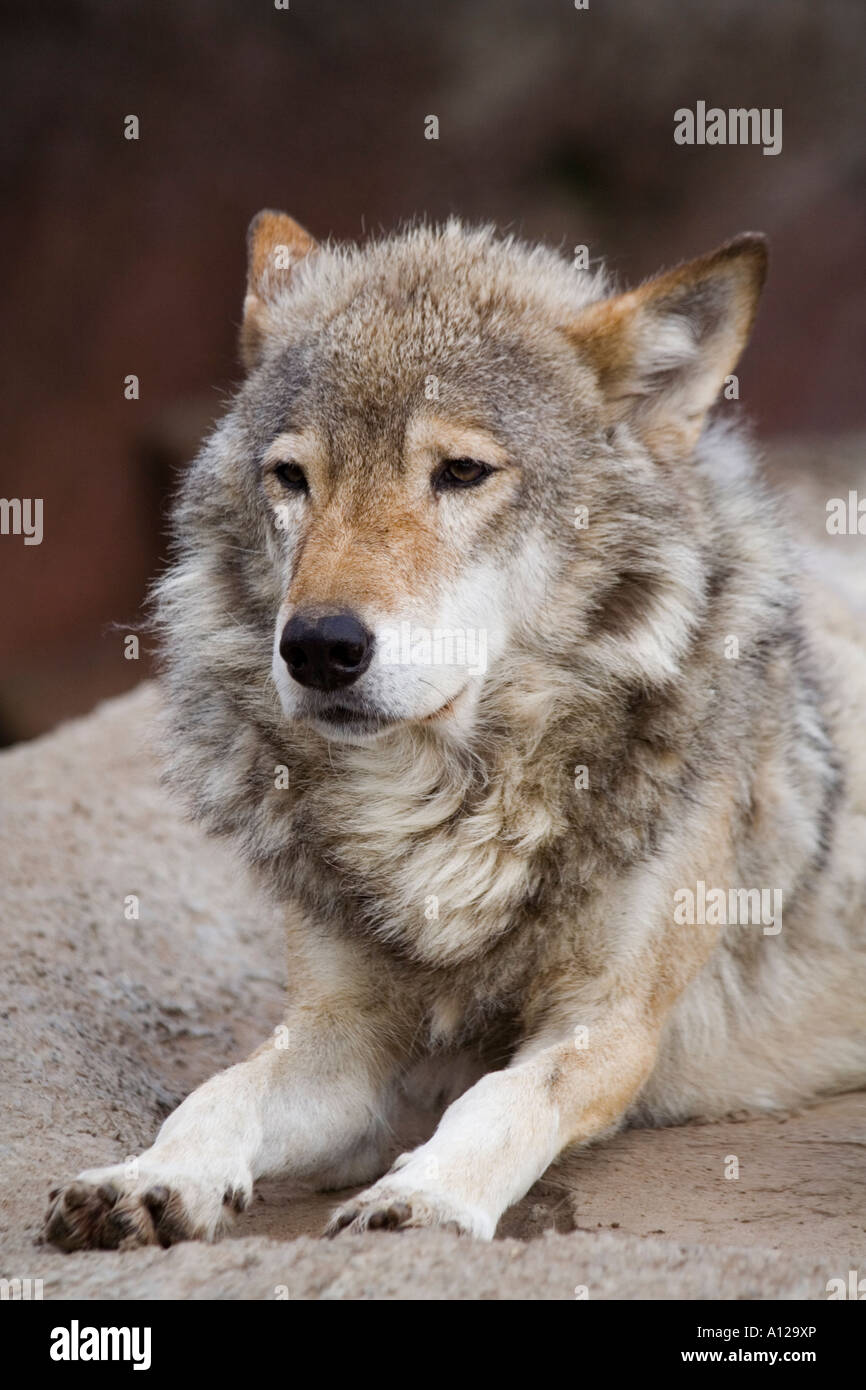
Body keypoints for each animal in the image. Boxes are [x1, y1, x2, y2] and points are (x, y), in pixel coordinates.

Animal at [44, 214, 866, 1249]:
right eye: (293, 478)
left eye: (461, 472)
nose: (318, 647)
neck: (440, 798)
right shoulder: (341, 1034)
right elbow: (221, 1091)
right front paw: (149, 1176)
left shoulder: (611, 1025)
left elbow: (502, 1103)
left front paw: (424, 1199)